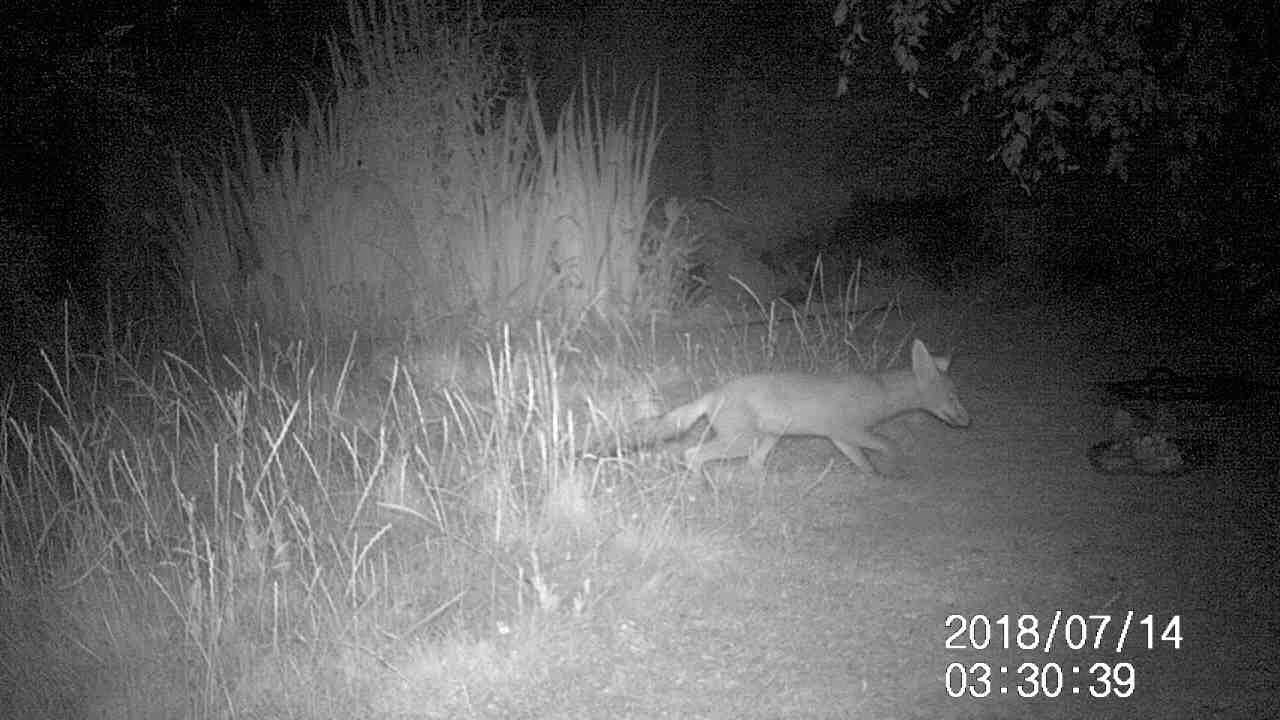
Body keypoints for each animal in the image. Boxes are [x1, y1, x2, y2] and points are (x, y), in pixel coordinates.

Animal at [597, 339, 970, 474]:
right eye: (953, 397)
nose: (968, 420)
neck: (877, 392)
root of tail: (714, 393)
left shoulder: (842, 439)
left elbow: (865, 465)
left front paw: (877, 479)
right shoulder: (851, 431)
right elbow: (890, 445)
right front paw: (897, 470)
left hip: (767, 438)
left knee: (752, 463)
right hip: (742, 441)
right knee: (692, 455)